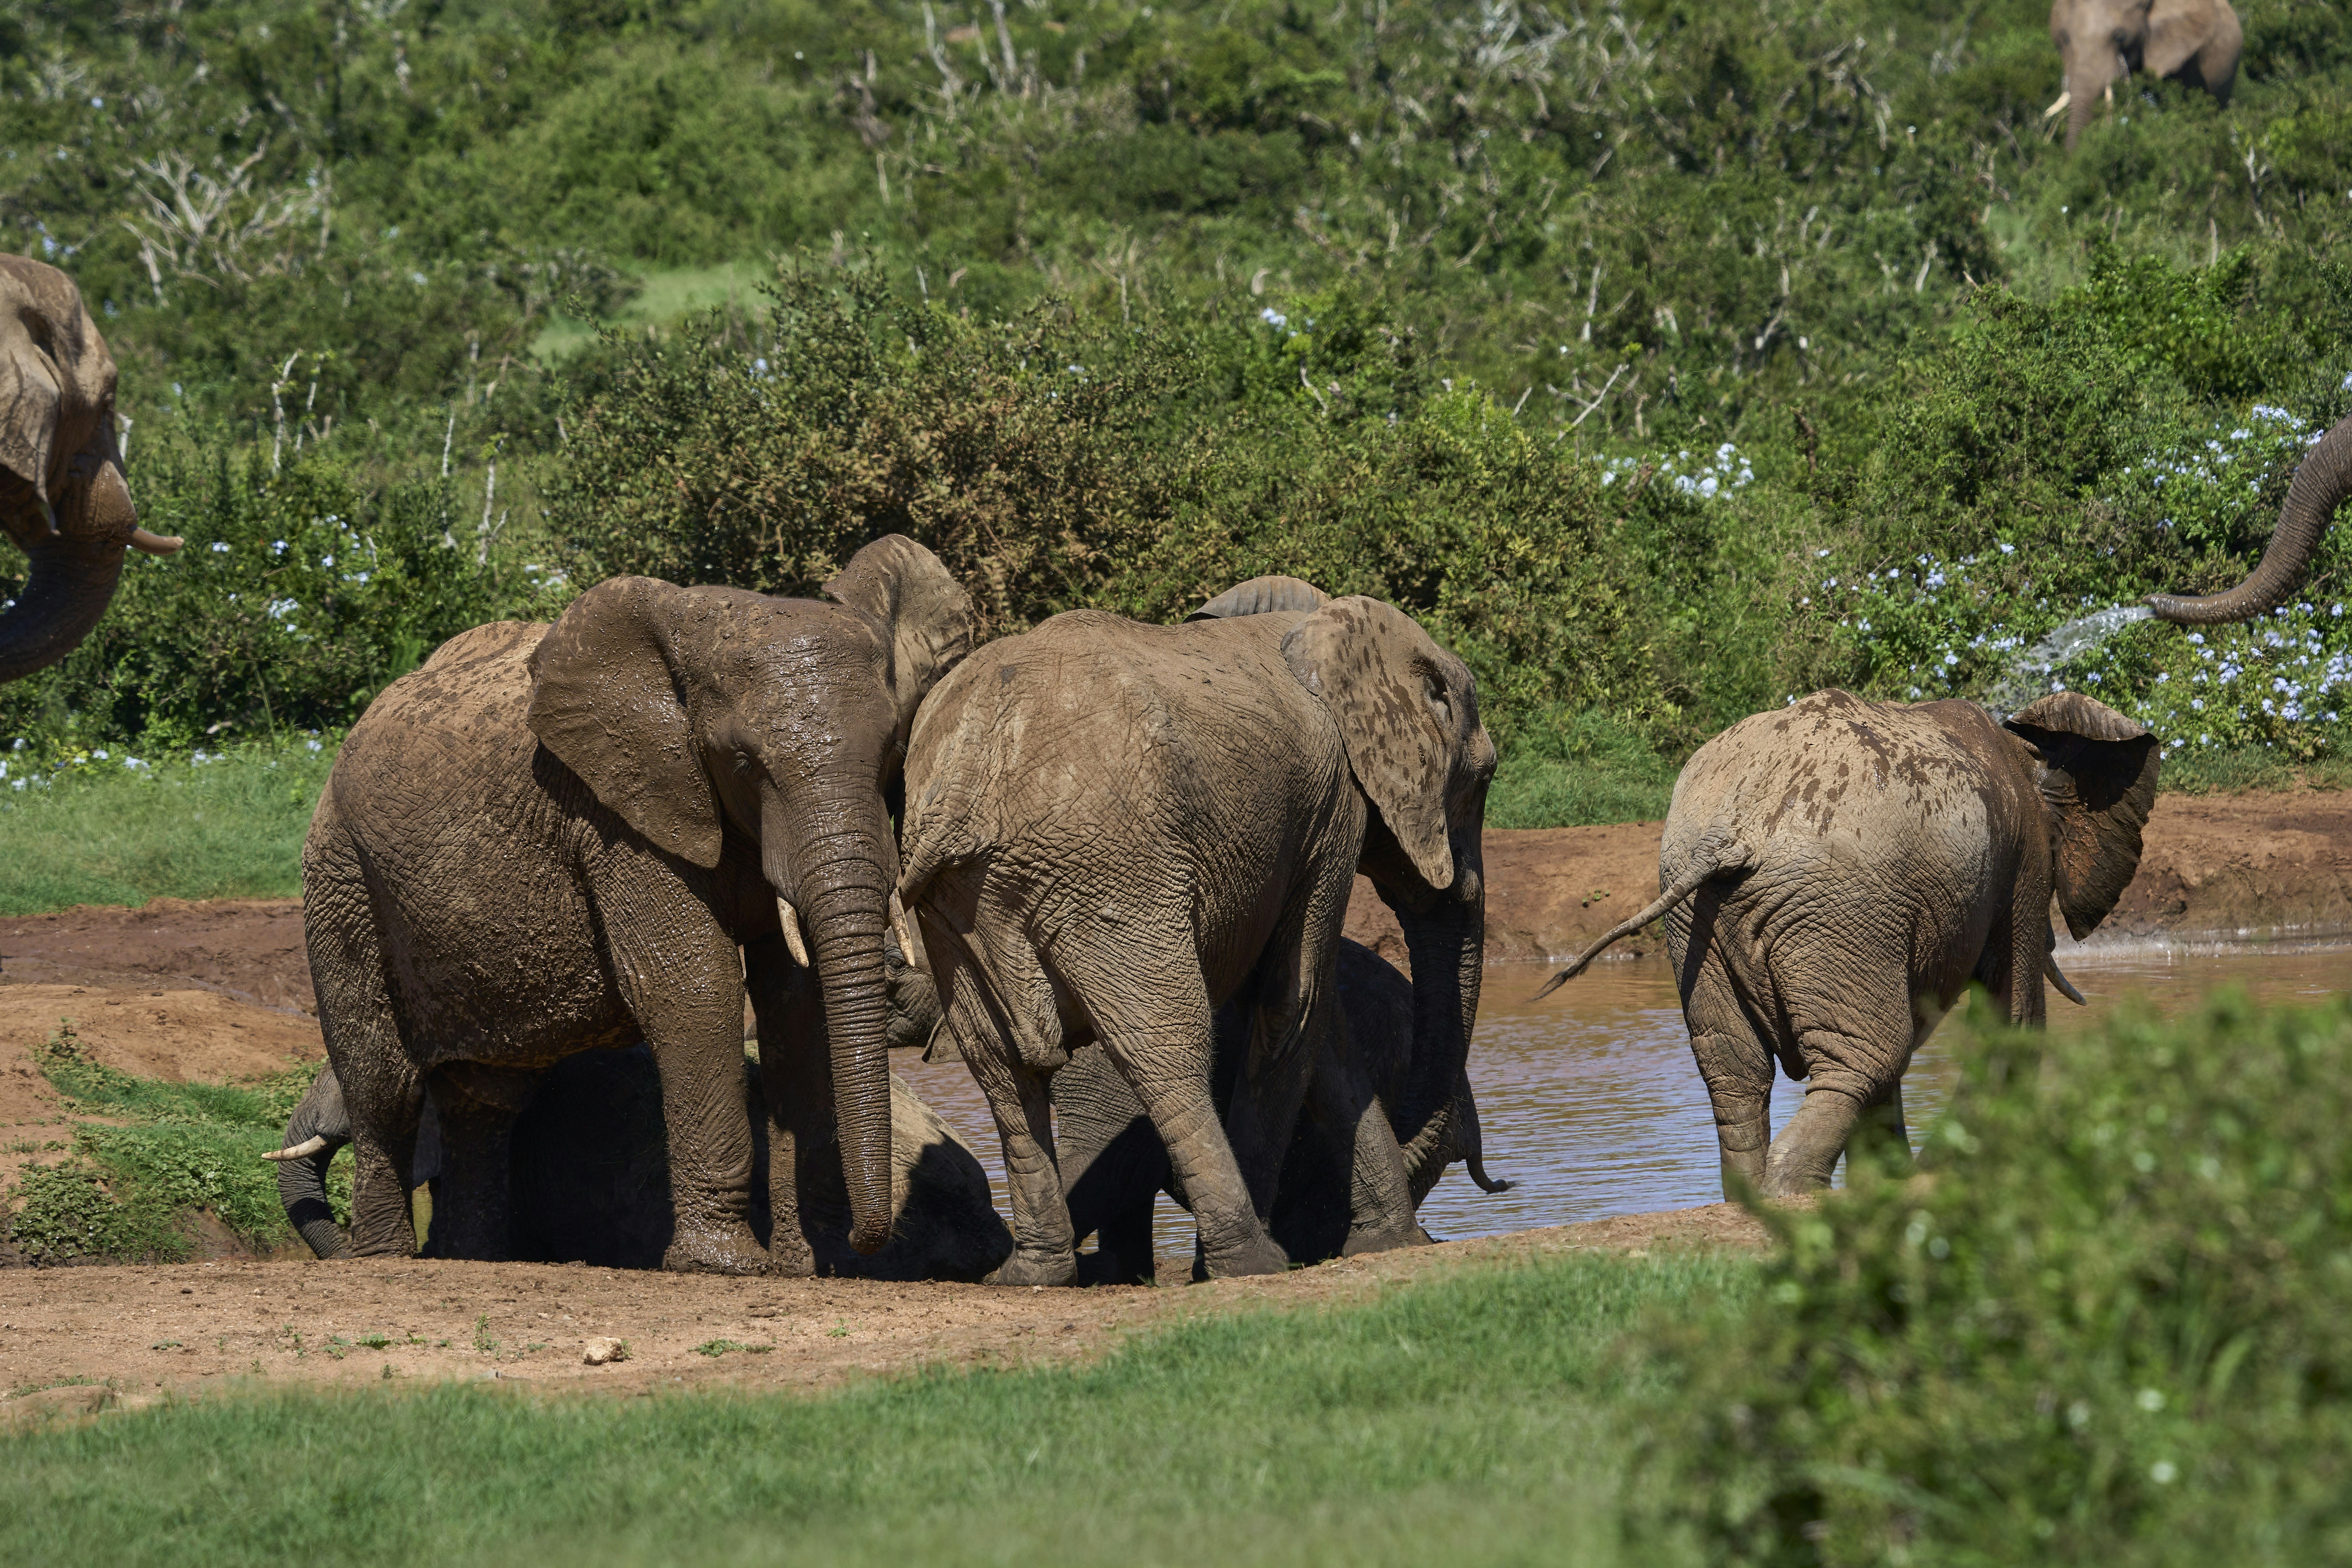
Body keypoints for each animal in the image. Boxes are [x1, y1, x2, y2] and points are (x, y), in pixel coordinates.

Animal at [301, 535, 975, 1272]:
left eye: (891, 753)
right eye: (743, 762)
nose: (865, 1239)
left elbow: (797, 1006)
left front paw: (805, 1266)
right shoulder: (618, 812)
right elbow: (693, 988)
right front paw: (724, 1265)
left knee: (483, 1097)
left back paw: (471, 1258)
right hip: (340, 870)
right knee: (384, 1084)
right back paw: (384, 1258)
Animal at [1538, 689, 2160, 1198]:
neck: (2029, 748)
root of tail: (1732, 829)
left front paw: (1895, 1181)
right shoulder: (2023, 858)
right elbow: (2016, 1015)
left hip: (1704, 913)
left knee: (1737, 1065)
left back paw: (1753, 1197)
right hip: (1840, 902)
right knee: (1869, 1054)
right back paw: (1796, 1193)